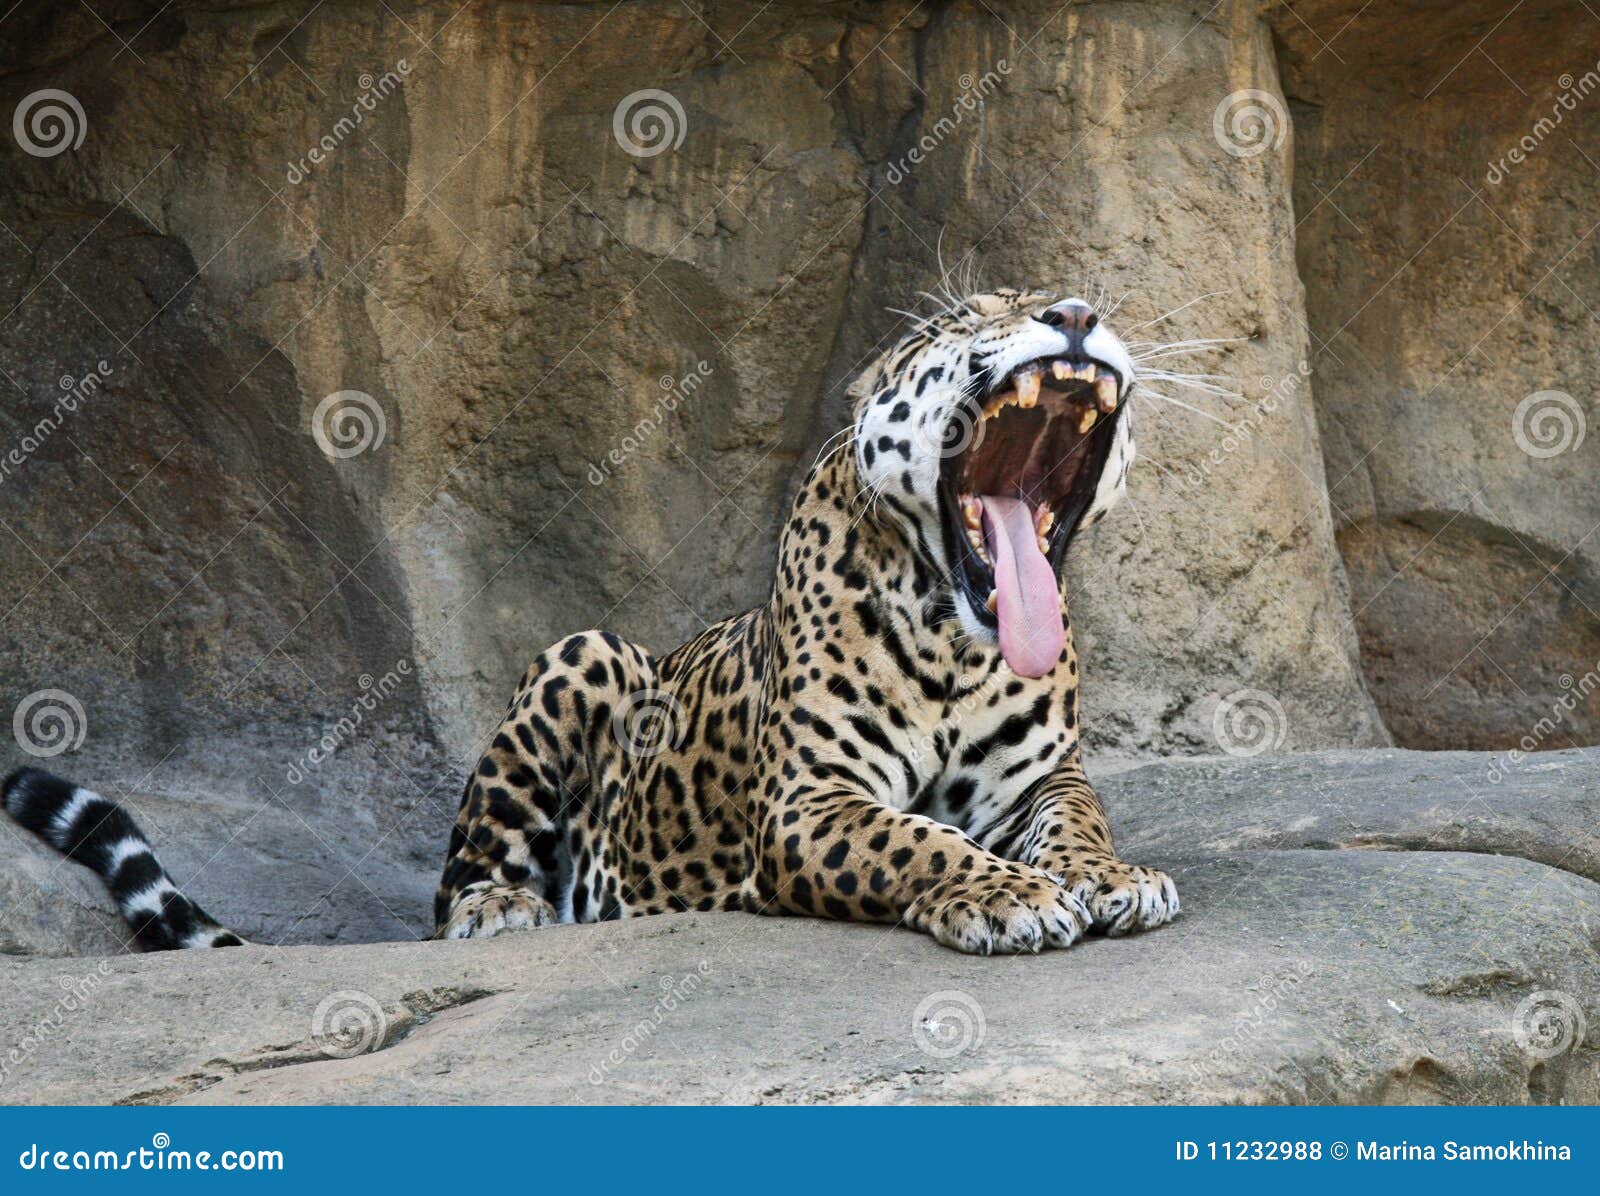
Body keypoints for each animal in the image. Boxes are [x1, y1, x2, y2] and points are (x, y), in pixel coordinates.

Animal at [4, 288, 1179, 956]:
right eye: (959, 322)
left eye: (1063, 299)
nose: (1077, 316)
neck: (951, 631)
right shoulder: (808, 803)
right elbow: (915, 838)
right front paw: (1005, 895)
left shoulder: (1045, 778)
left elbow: (1077, 822)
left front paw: (1112, 878)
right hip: (584, 654)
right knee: (455, 885)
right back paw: (502, 909)